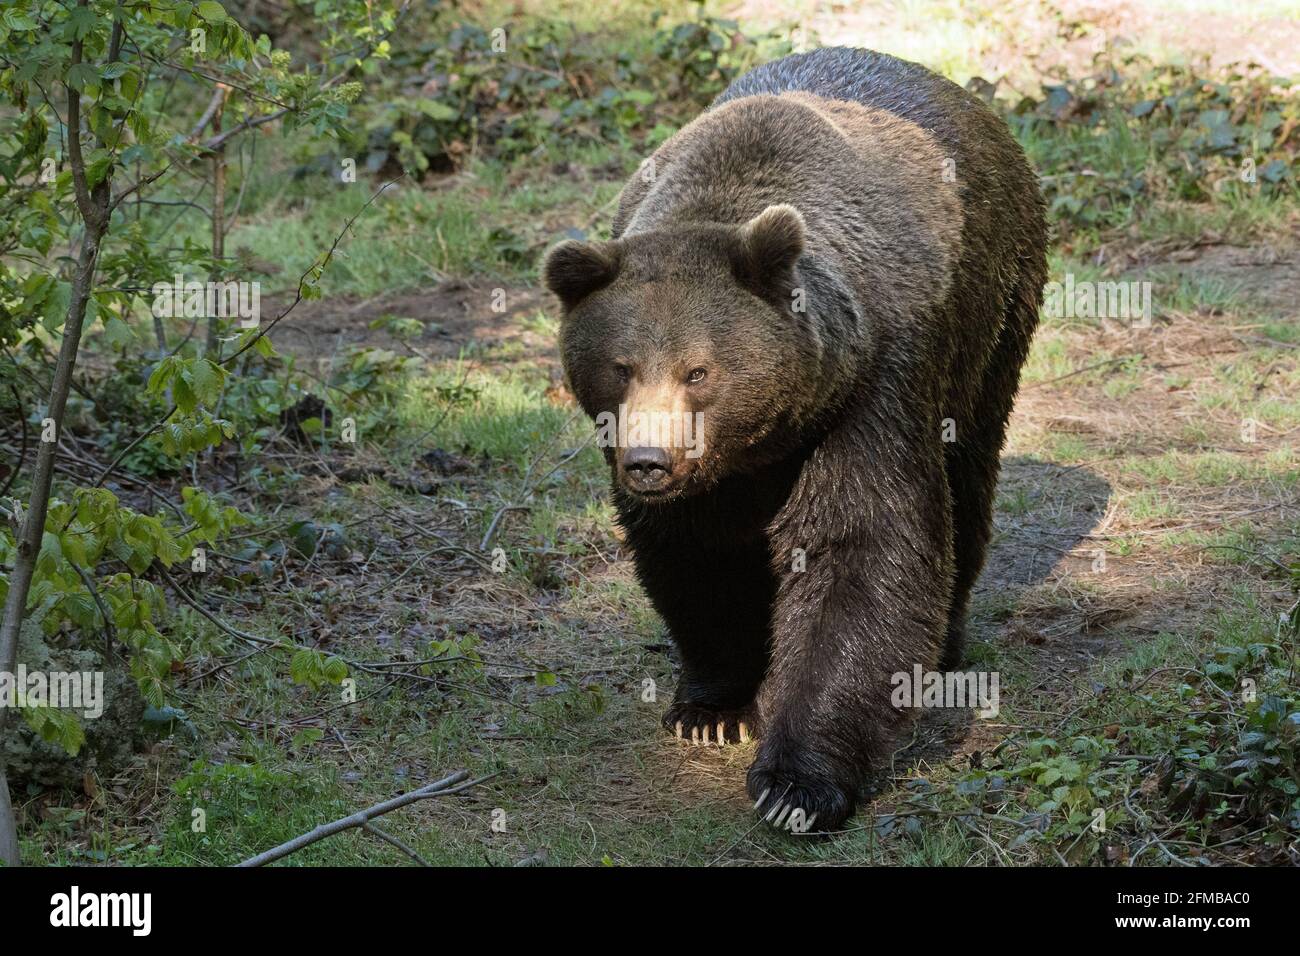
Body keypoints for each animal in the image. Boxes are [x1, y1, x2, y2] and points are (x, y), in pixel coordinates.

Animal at [543, 47, 1047, 832]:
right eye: (620, 367)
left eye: (698, 370)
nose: (649, 463)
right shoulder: (695, 477)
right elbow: (695, 553)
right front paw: (713, 707)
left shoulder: (876, 384)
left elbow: (866, 548)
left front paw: (796, 783)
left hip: (993, 312)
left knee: (968, 477)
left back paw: (947, 647)